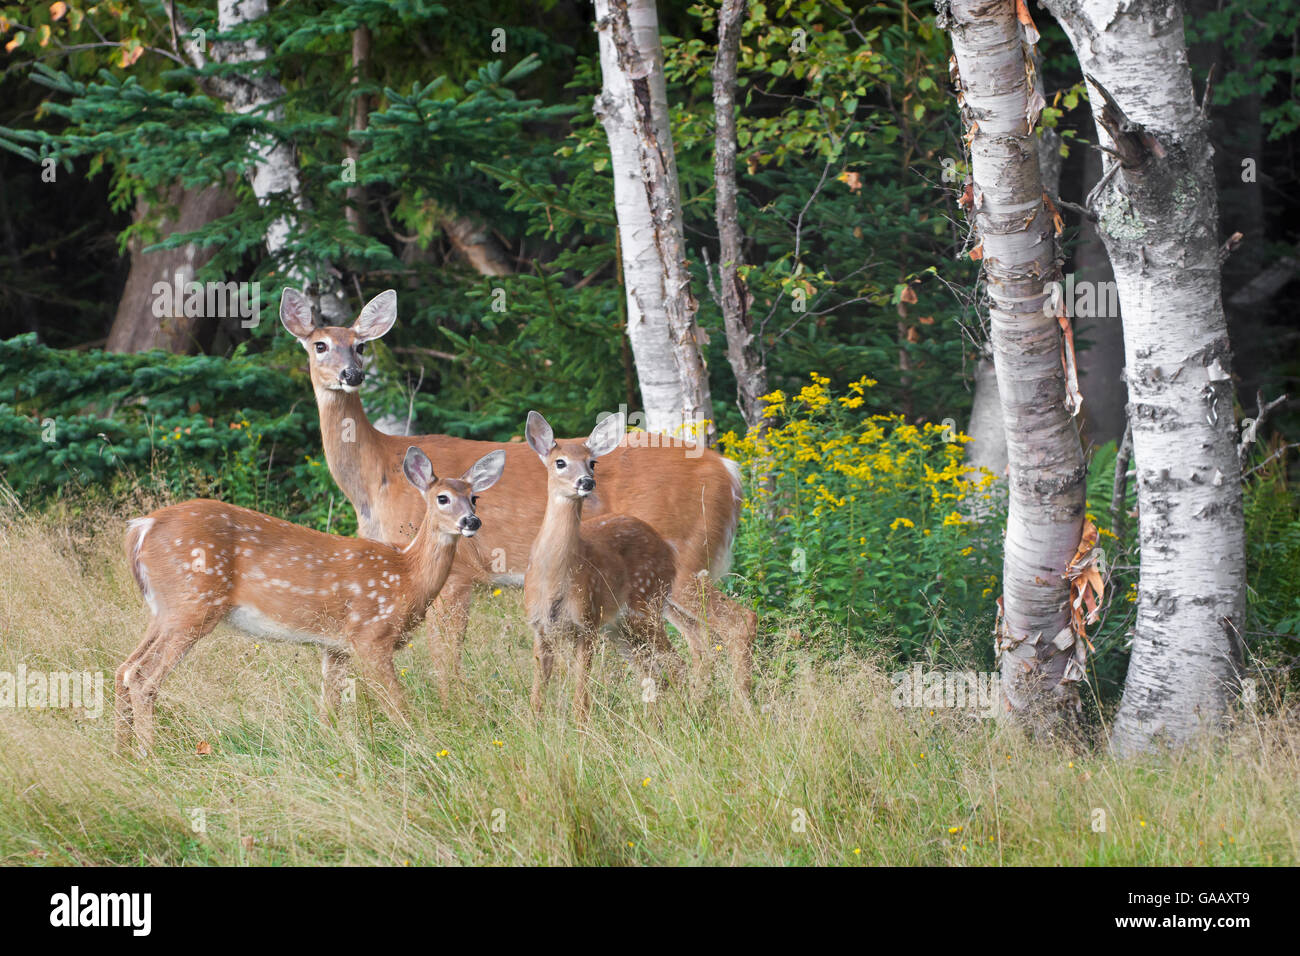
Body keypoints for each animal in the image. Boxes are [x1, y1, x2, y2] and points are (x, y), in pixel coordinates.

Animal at [115, 446, 505, 755]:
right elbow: (398, 705)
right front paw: (423, 745)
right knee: (142, 678)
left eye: (474, 497)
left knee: (123, 669)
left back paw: (122, 753)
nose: (471, 521)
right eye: (442, 498)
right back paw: (149, 756)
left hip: (165, 609)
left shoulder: (335, 646)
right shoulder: (371, 635)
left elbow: (327, 711)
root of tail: (142, 527)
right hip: (192, 604)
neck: (406, 575)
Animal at [523, 410, 685, 721]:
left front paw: (580, 727)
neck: (553, 578)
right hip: (619, 628)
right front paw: (532, 725)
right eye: (560, 462)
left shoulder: (586, 621)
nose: (586, 481)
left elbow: (580, 693)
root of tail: (669, 550)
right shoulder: (539, 626)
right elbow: (537, 692)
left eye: (592, 462)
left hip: (646, 606)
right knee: (651, 672)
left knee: (675, 664)